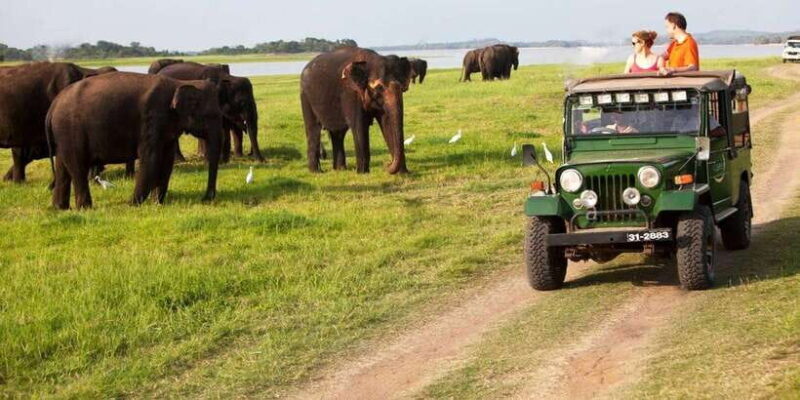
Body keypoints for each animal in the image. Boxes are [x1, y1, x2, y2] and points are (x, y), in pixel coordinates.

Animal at [48, 72, 223, 209]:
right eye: (211, 115)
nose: (206, 198)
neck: (180, 82)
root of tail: (53, 105)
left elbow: (167, 160)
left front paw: (157, 203)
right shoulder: (151, 118)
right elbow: (151, 159)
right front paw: (132, 204)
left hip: (63, 136)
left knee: (63, 166)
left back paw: (61, 208)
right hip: (70, 131)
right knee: (78, 167)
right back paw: (85, 208)